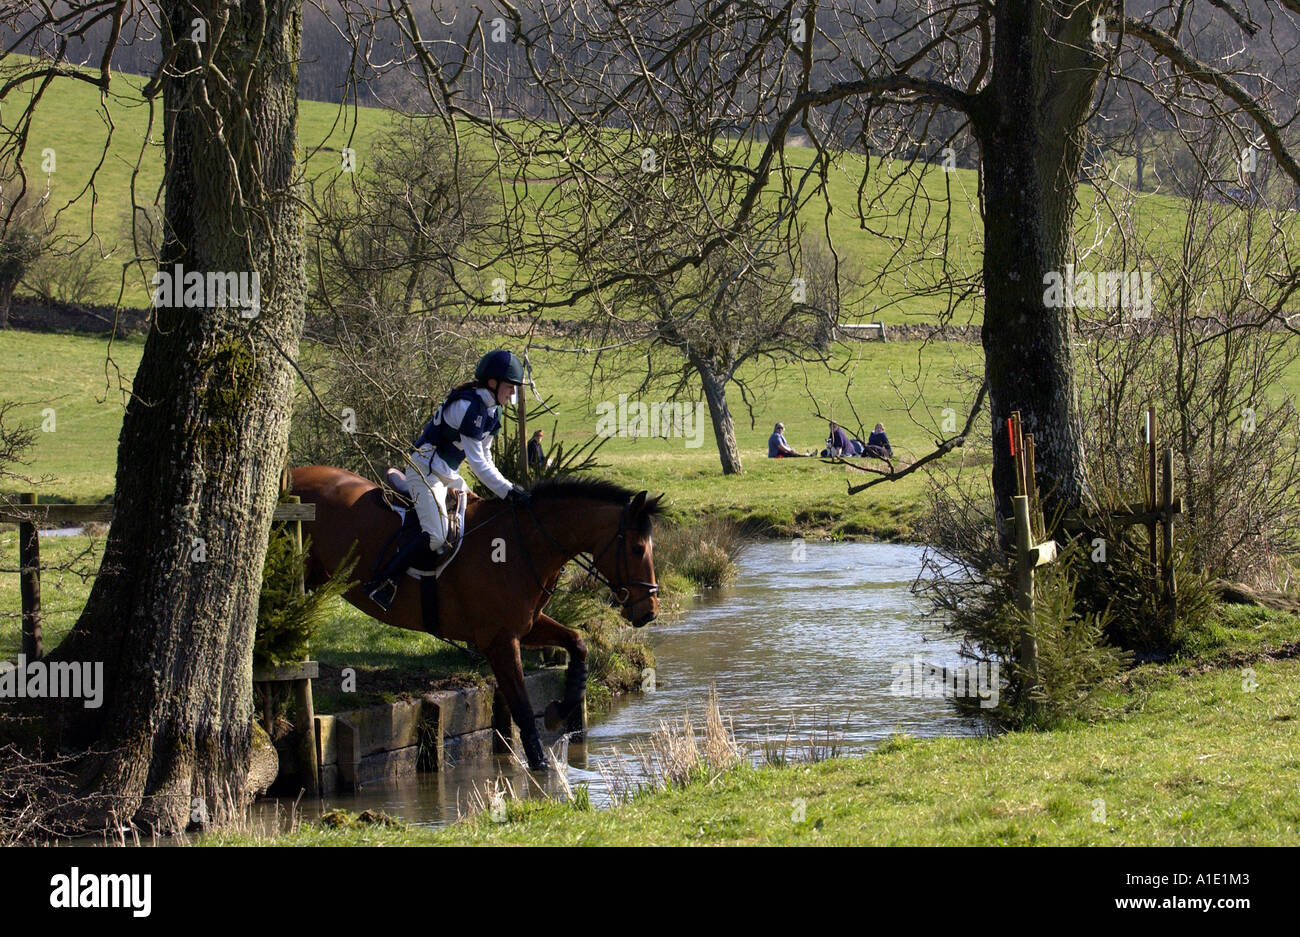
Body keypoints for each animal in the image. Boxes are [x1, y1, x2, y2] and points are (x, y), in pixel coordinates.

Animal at [290, 466, 663, 770]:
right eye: (636, 549)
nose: (648, 612)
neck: (522, 544)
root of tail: (294, 472)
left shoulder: (526, 627)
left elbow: (577, 643)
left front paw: (561, 709)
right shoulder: (499, 641)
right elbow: (521, 706)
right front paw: (541, 765)